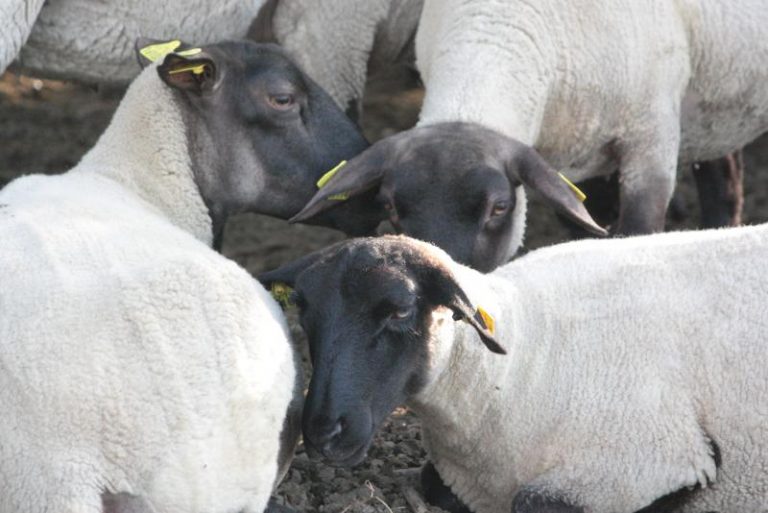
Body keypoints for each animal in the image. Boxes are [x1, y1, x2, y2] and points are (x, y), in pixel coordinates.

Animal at [259, 230, 768, 513]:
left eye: (399, 310)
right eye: (304, 311)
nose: (322, 431)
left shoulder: (652, 459)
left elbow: (531, 501)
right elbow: (432, 483)